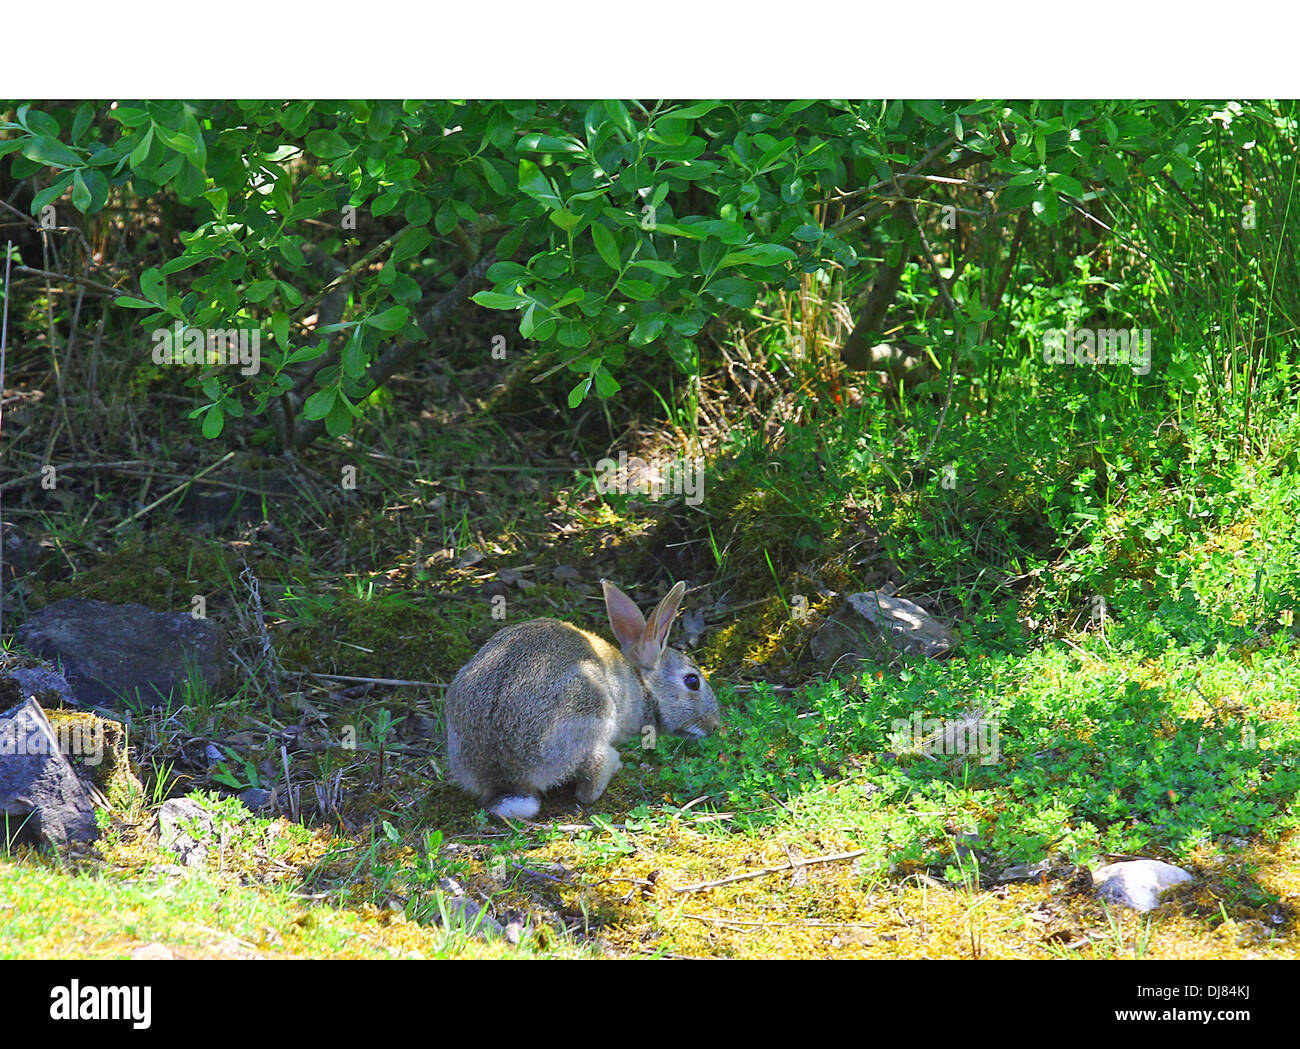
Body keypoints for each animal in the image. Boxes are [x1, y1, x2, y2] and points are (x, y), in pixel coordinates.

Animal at [445, 580, 720, 819]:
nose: (714, 725)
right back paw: (613, 765)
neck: (642, 685)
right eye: (692, 681)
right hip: (590, 712)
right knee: (589, 783)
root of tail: (503, 775)